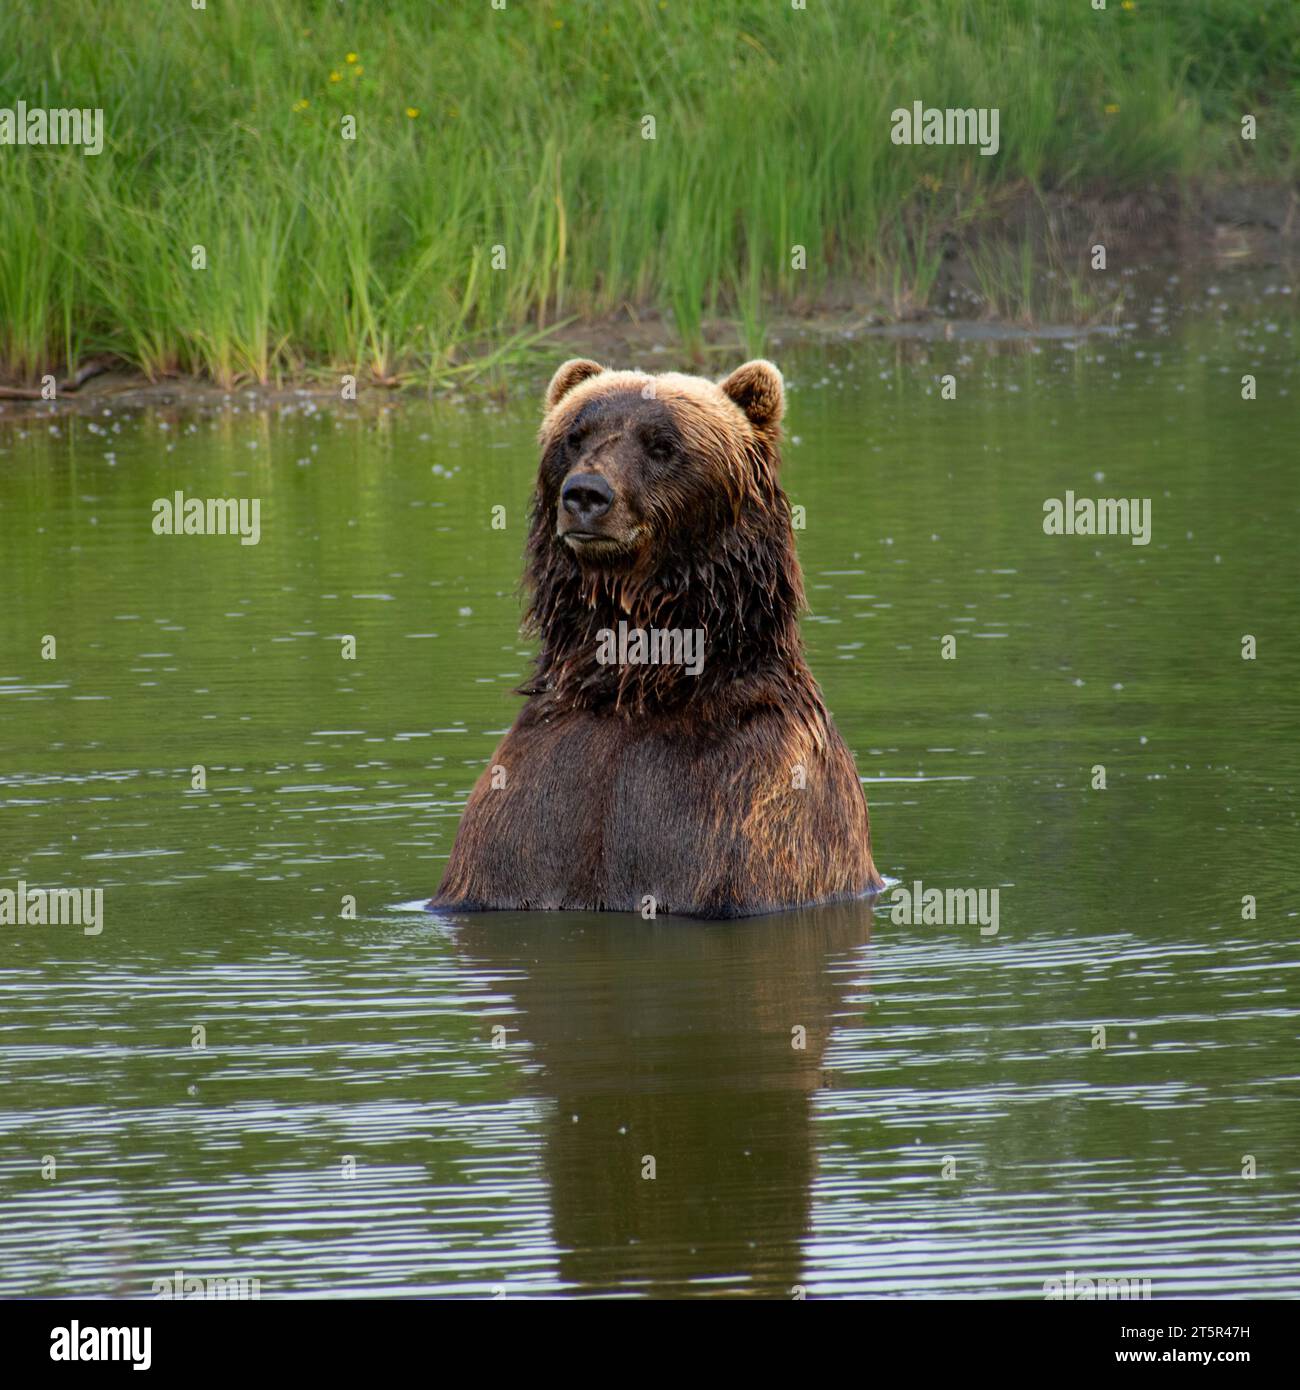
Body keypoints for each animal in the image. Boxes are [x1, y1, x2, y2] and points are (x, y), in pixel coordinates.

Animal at [430, 358, 883, 919]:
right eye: (574, 435)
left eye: (663, 444)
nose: (586, 494)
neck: (637, 684)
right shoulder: (528, 815)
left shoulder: (749, 814)